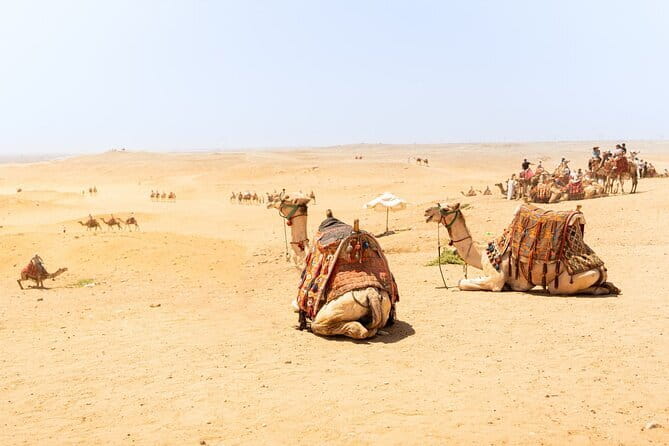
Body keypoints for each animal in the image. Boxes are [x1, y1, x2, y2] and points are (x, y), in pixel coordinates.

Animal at [424, 202, 620, 296]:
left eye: (445, 208)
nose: (426, 212)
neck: (481, 253)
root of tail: (601, 267)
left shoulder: (495, 279)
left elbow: (461, 283)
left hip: (567, 280)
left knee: (558, 289)